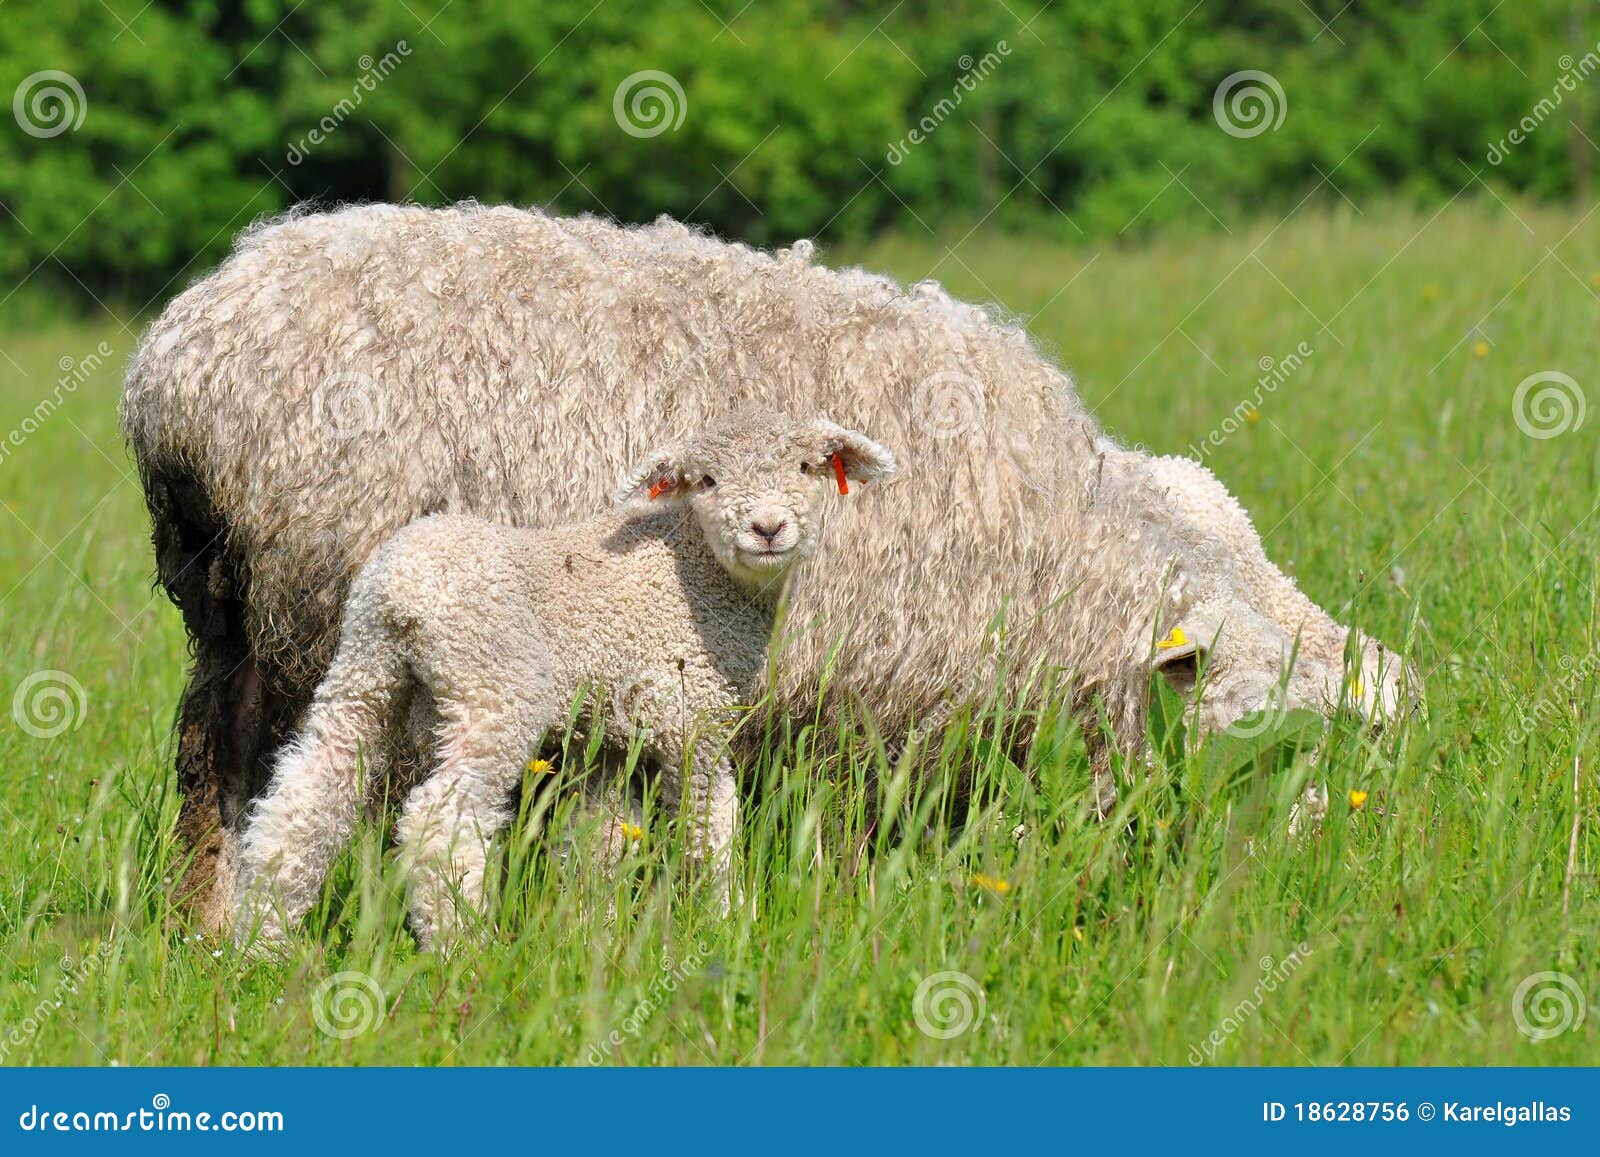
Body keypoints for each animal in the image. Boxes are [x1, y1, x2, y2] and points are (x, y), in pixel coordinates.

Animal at [232, 409, 898, 948]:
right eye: (707, 481)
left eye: (808, 467)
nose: (767, 529)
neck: (696, 570)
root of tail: (405, 589)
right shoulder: (693, 721)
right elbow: (712, 831)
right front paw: (726, 924)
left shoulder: (607, 739)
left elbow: (597, 842)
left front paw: (589, 933)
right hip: (496, 684)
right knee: (441, 825)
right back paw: (461, 950)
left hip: (363, 674)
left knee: (305, 800)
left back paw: (260, 945)